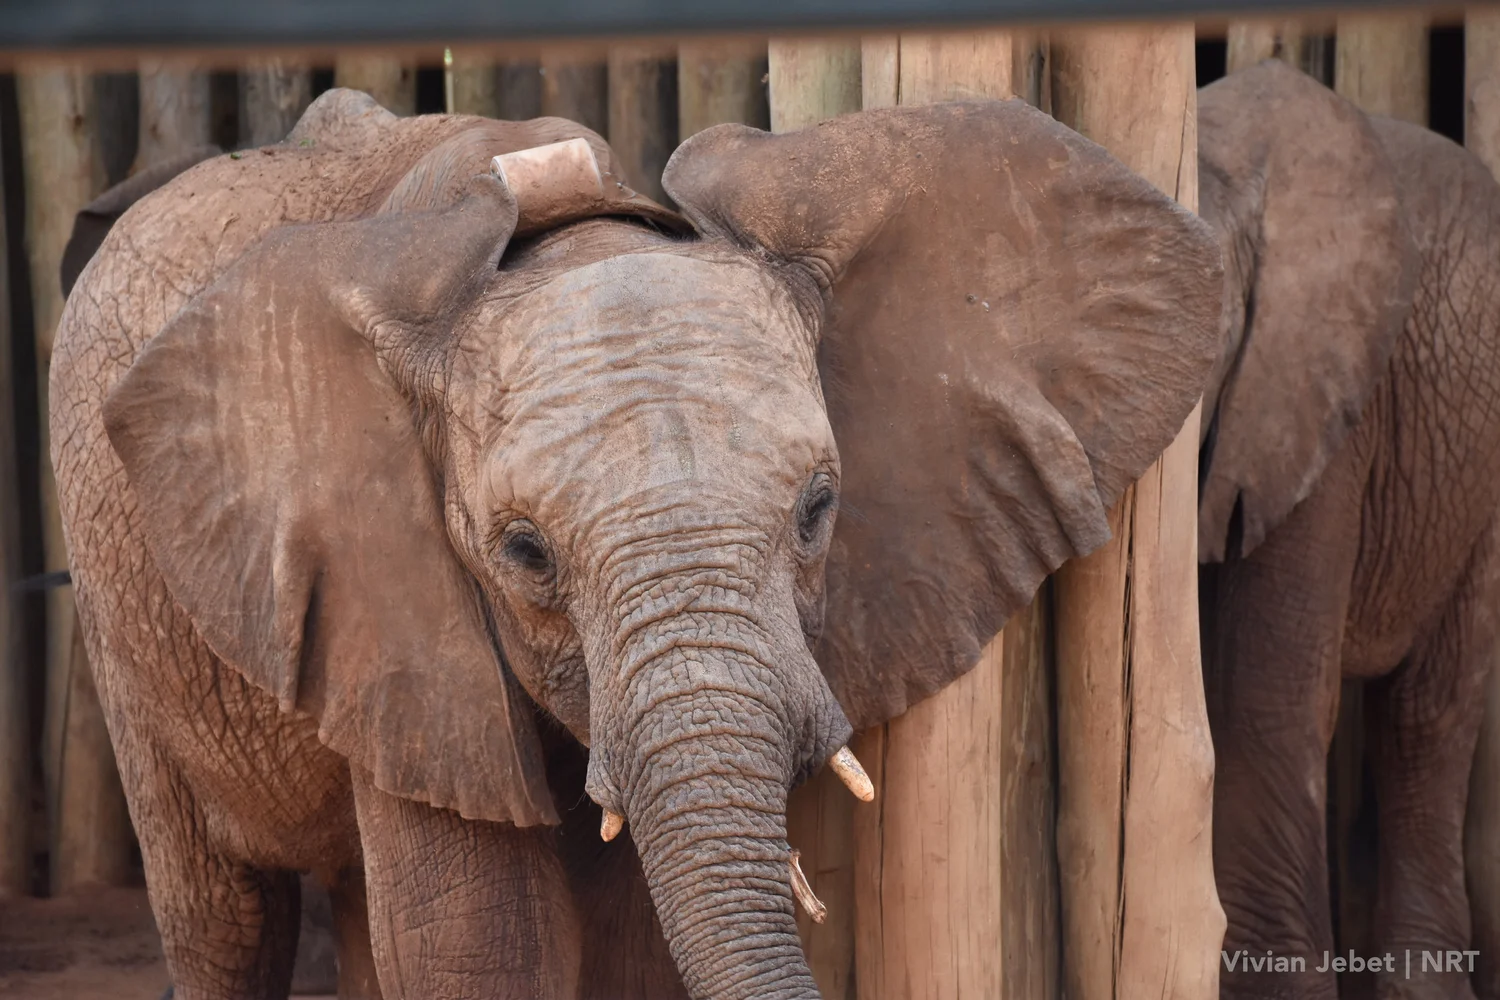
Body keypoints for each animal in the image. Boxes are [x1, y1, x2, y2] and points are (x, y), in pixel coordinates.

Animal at [50, 87, 1223, 999]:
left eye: (820, 509)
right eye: (525, 555)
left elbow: (627, 946)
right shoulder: (396, 615)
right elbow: (482, 951)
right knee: (225, 922)